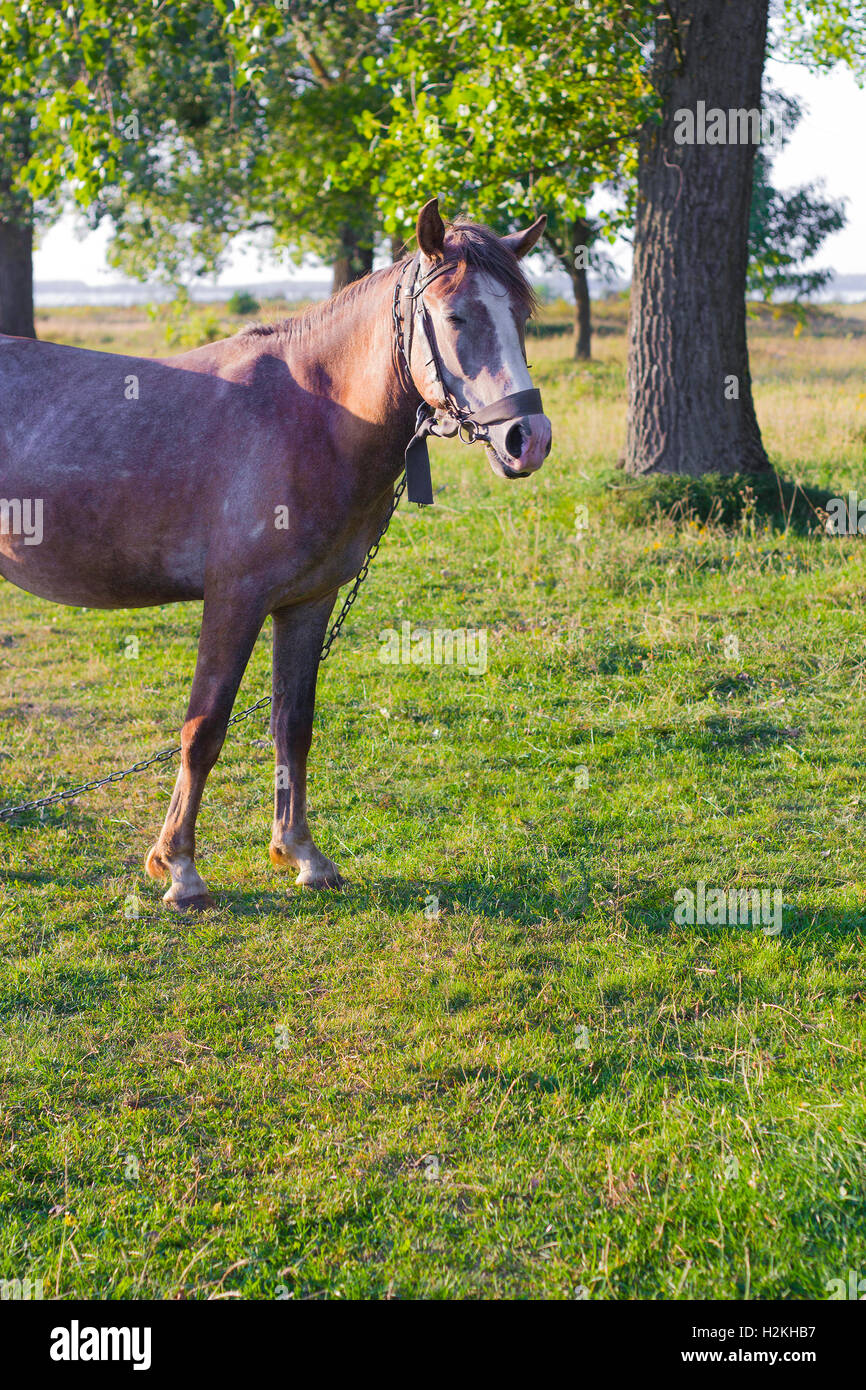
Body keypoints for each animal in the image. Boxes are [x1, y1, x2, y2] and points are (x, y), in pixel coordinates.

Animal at [0, 198, 551, 909]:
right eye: (456, 316)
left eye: (521, 317)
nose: (527, 439)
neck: (315, 415)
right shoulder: (234, 600)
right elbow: (204, 729)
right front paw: (180, 869)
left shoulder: (307, 602)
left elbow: (293, 724)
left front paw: (302, 855)